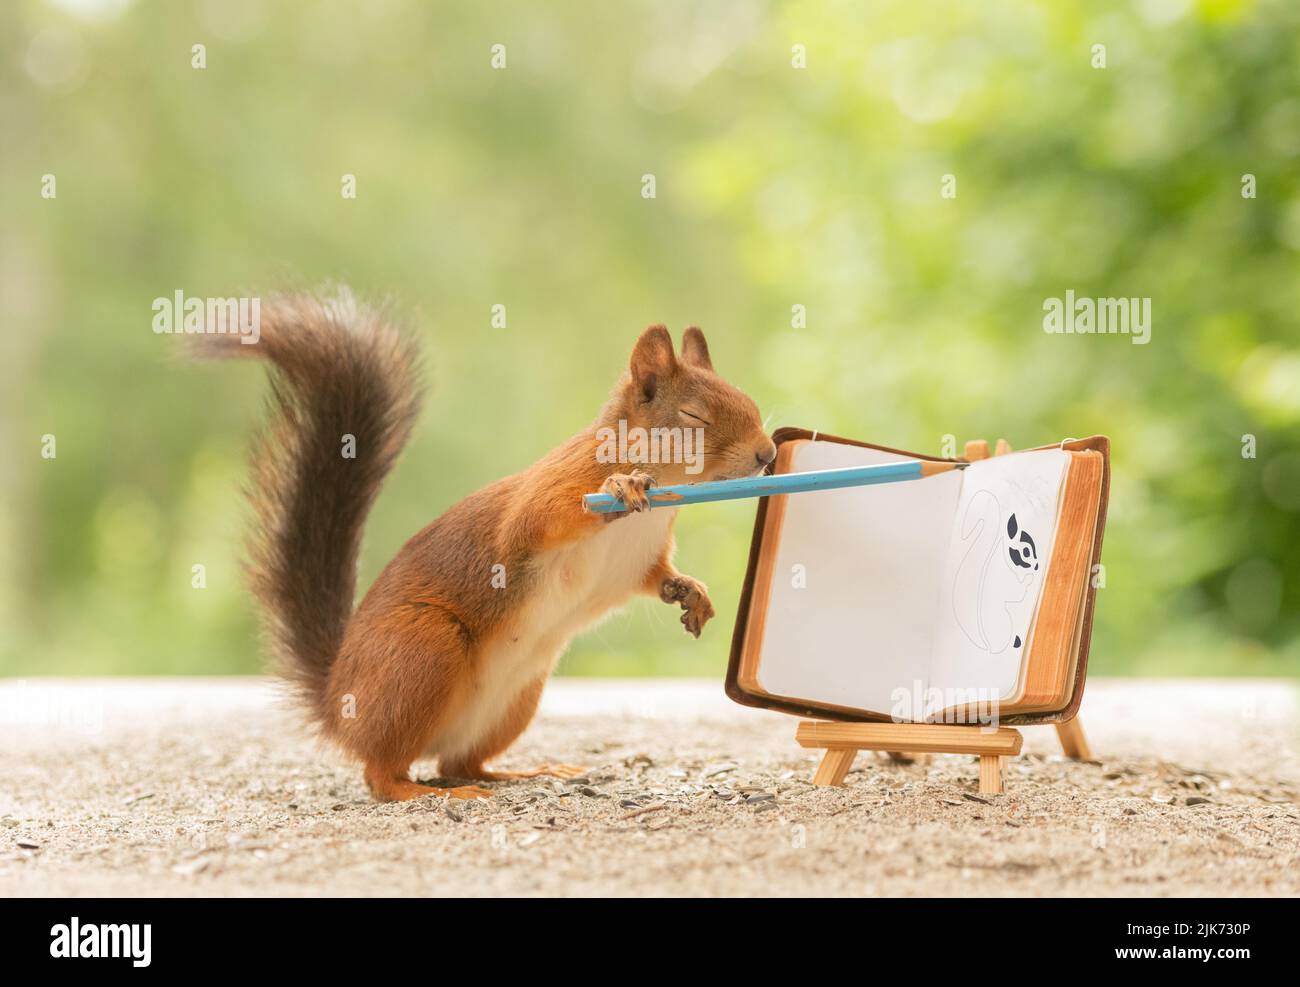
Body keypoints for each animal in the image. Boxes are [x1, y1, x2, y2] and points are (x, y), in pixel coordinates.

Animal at [196, 291, 776, 801]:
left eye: (750, 402)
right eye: (695, 418)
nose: (768, 454)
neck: (658, 498)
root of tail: (339, 704)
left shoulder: (639, 559)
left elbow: (656, 576)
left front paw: (690, 591)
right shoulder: (554, 486)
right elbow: (537, 520)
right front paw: (621, 486)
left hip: (518, 696)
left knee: (462, 760)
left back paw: (520, 773)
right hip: (422, 649)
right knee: (381, 770)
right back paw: (418, 791)